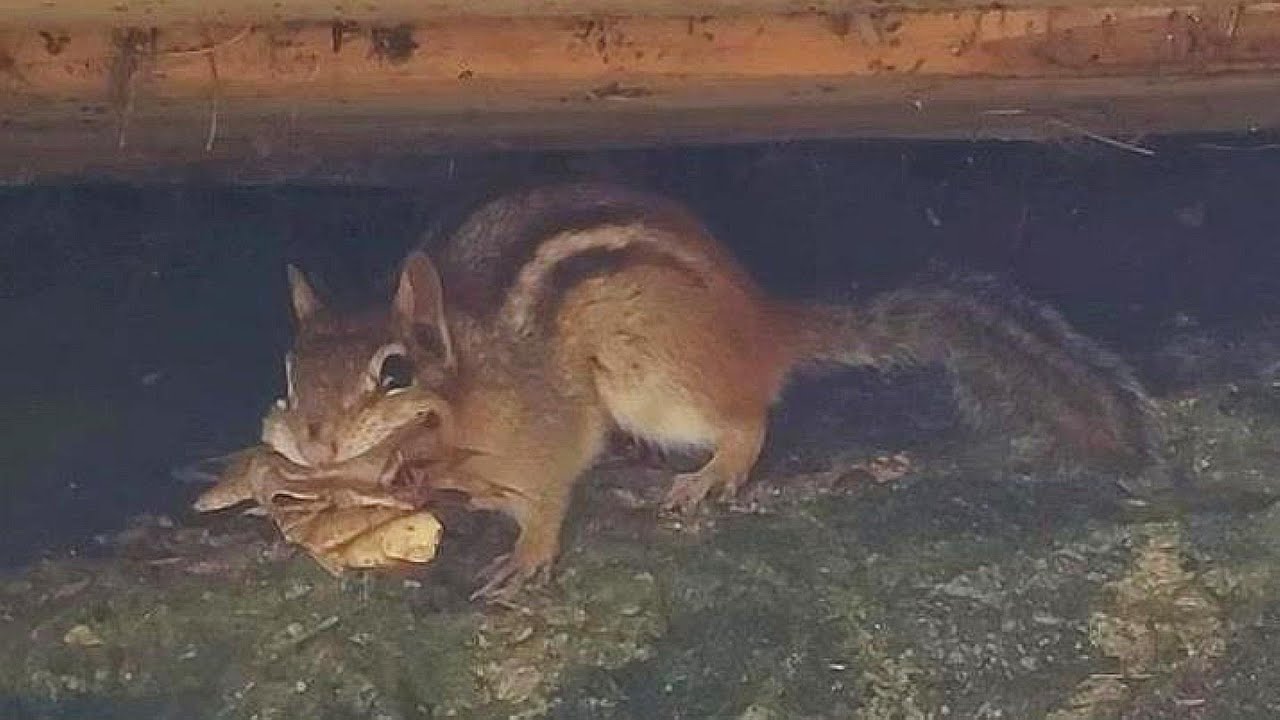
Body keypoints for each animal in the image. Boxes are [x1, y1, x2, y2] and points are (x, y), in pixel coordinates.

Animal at [274, 182, 1162, 600]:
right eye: (289, 372)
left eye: (394, 372)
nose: (315, 440)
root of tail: (762, 323)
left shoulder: (547, 428)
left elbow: (552, 492)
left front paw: (529, 553)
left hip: (658, 379)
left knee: (748, 417)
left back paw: (715, 470)